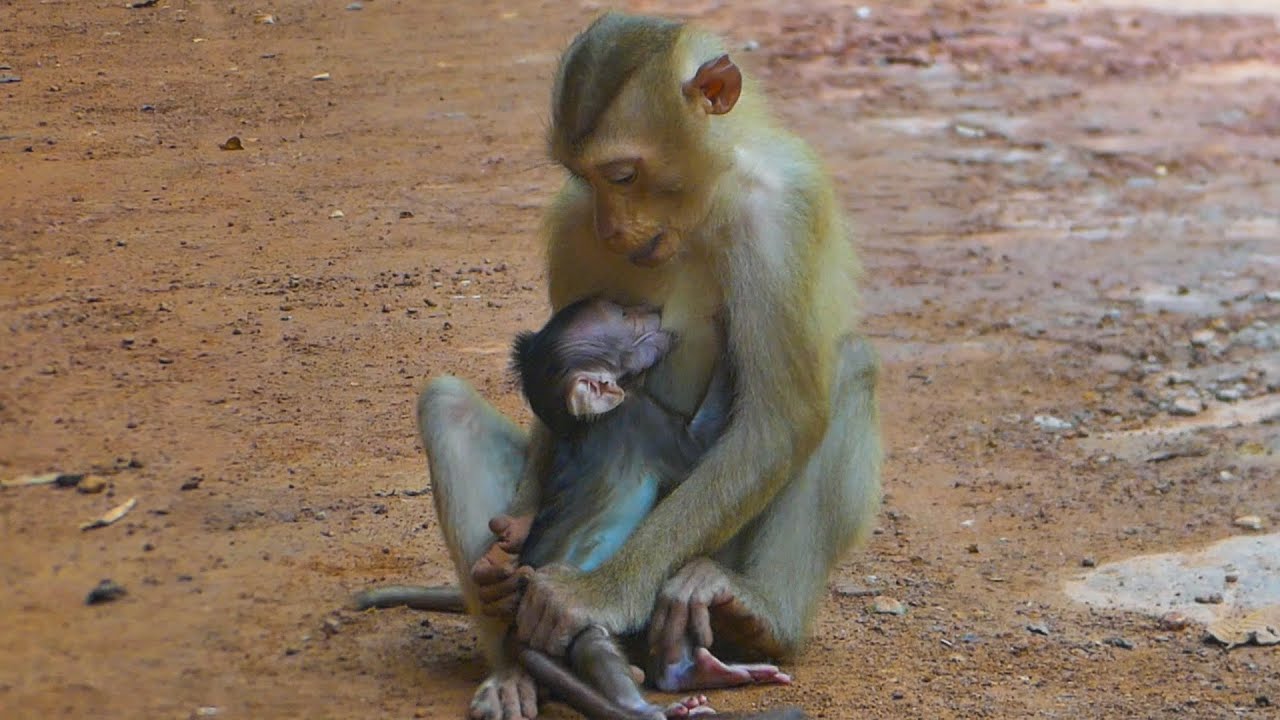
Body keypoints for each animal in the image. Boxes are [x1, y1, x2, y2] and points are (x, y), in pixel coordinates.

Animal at [416, 11, 882, 720]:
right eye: (589, 177)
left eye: (624, 174)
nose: (611, 229)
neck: (703, 204)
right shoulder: (572, 222)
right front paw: (511, 541)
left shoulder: (780, 212)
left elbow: (780, 418)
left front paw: (598, 592)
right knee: (445, 404)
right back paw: (515, 666)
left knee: (846, 365)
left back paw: (760, 618)